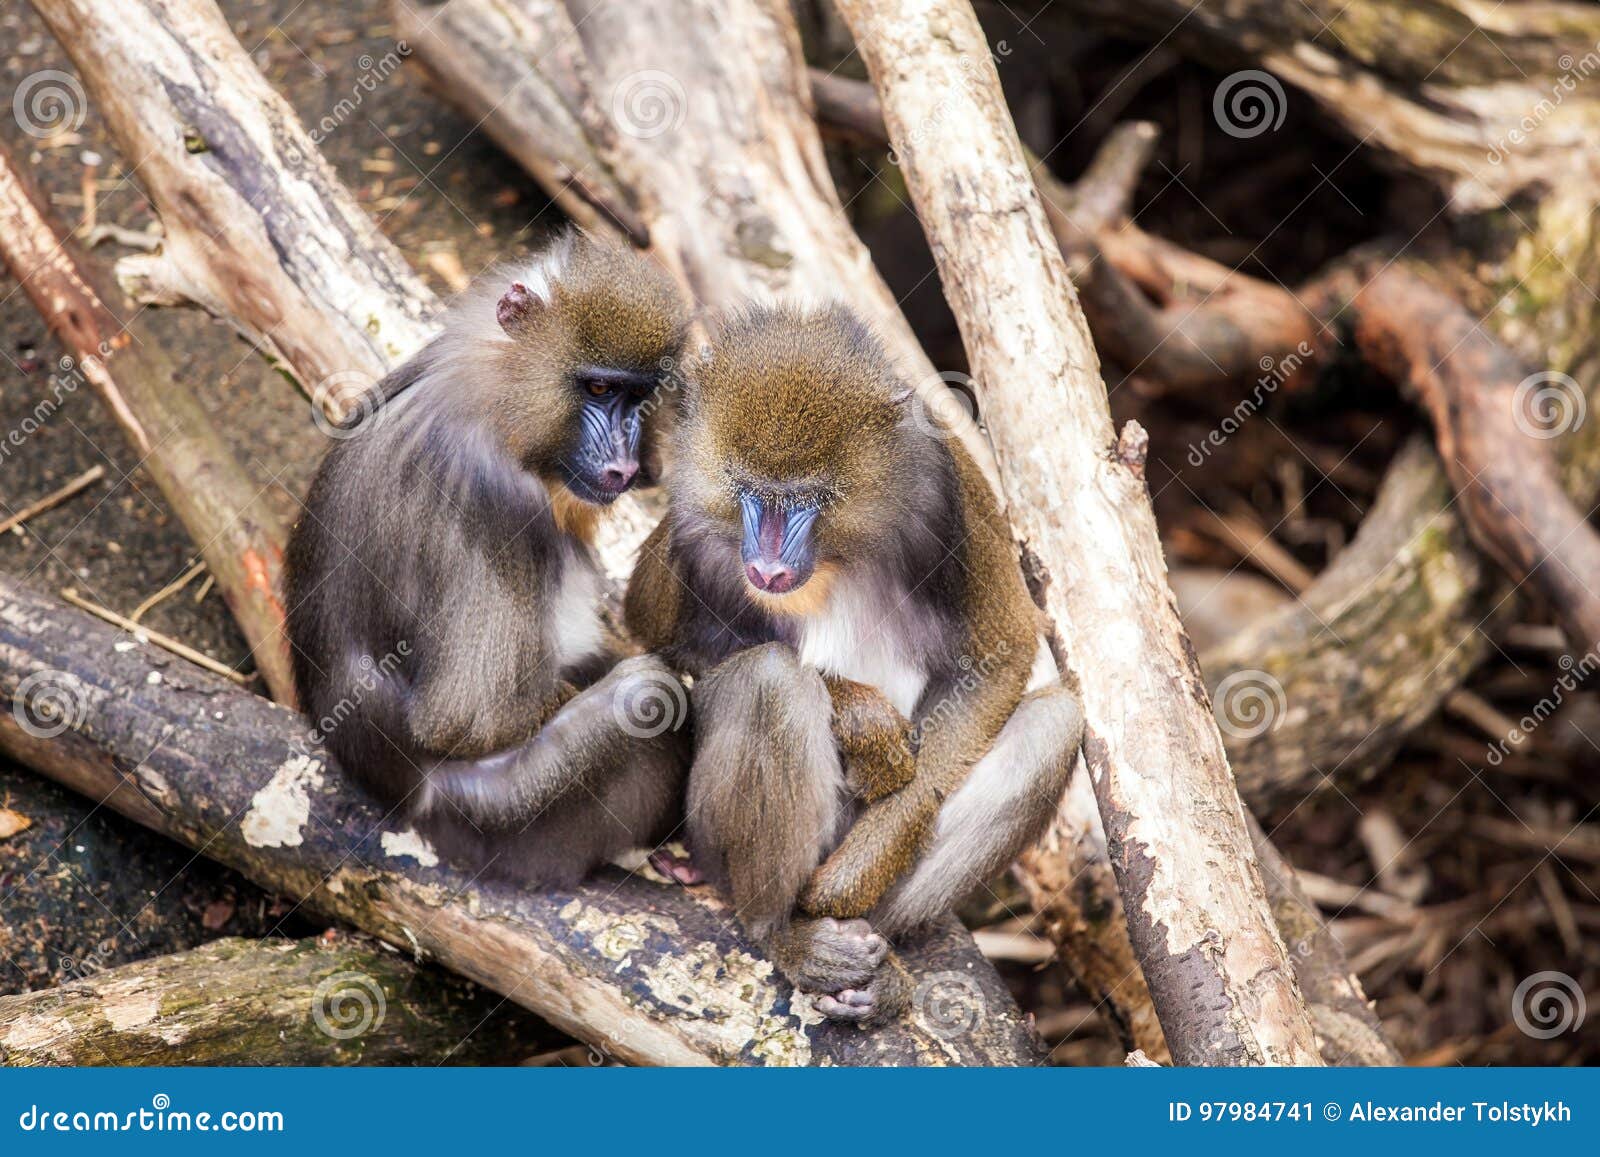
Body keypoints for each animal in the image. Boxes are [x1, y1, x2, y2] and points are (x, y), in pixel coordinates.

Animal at [285, 232, 693, 886]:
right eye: (599, 389)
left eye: (638, 395)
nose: (624, 465)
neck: (496, 394)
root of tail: (406, 804)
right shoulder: (499, 501)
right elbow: (466, 718)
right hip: (503, 815)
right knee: (644, 696)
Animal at [624, 303, 1085, 1025]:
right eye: (749, 492)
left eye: (809, 498)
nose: (768, 567)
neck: (838, 553)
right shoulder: (690, 526)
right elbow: (655, 633)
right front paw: (860, 716)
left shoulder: (948, 493)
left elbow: (998, 656)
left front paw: (848, 878)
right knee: (768, 681)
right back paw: (782, 932)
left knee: (1055, 723)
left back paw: (867, 952)